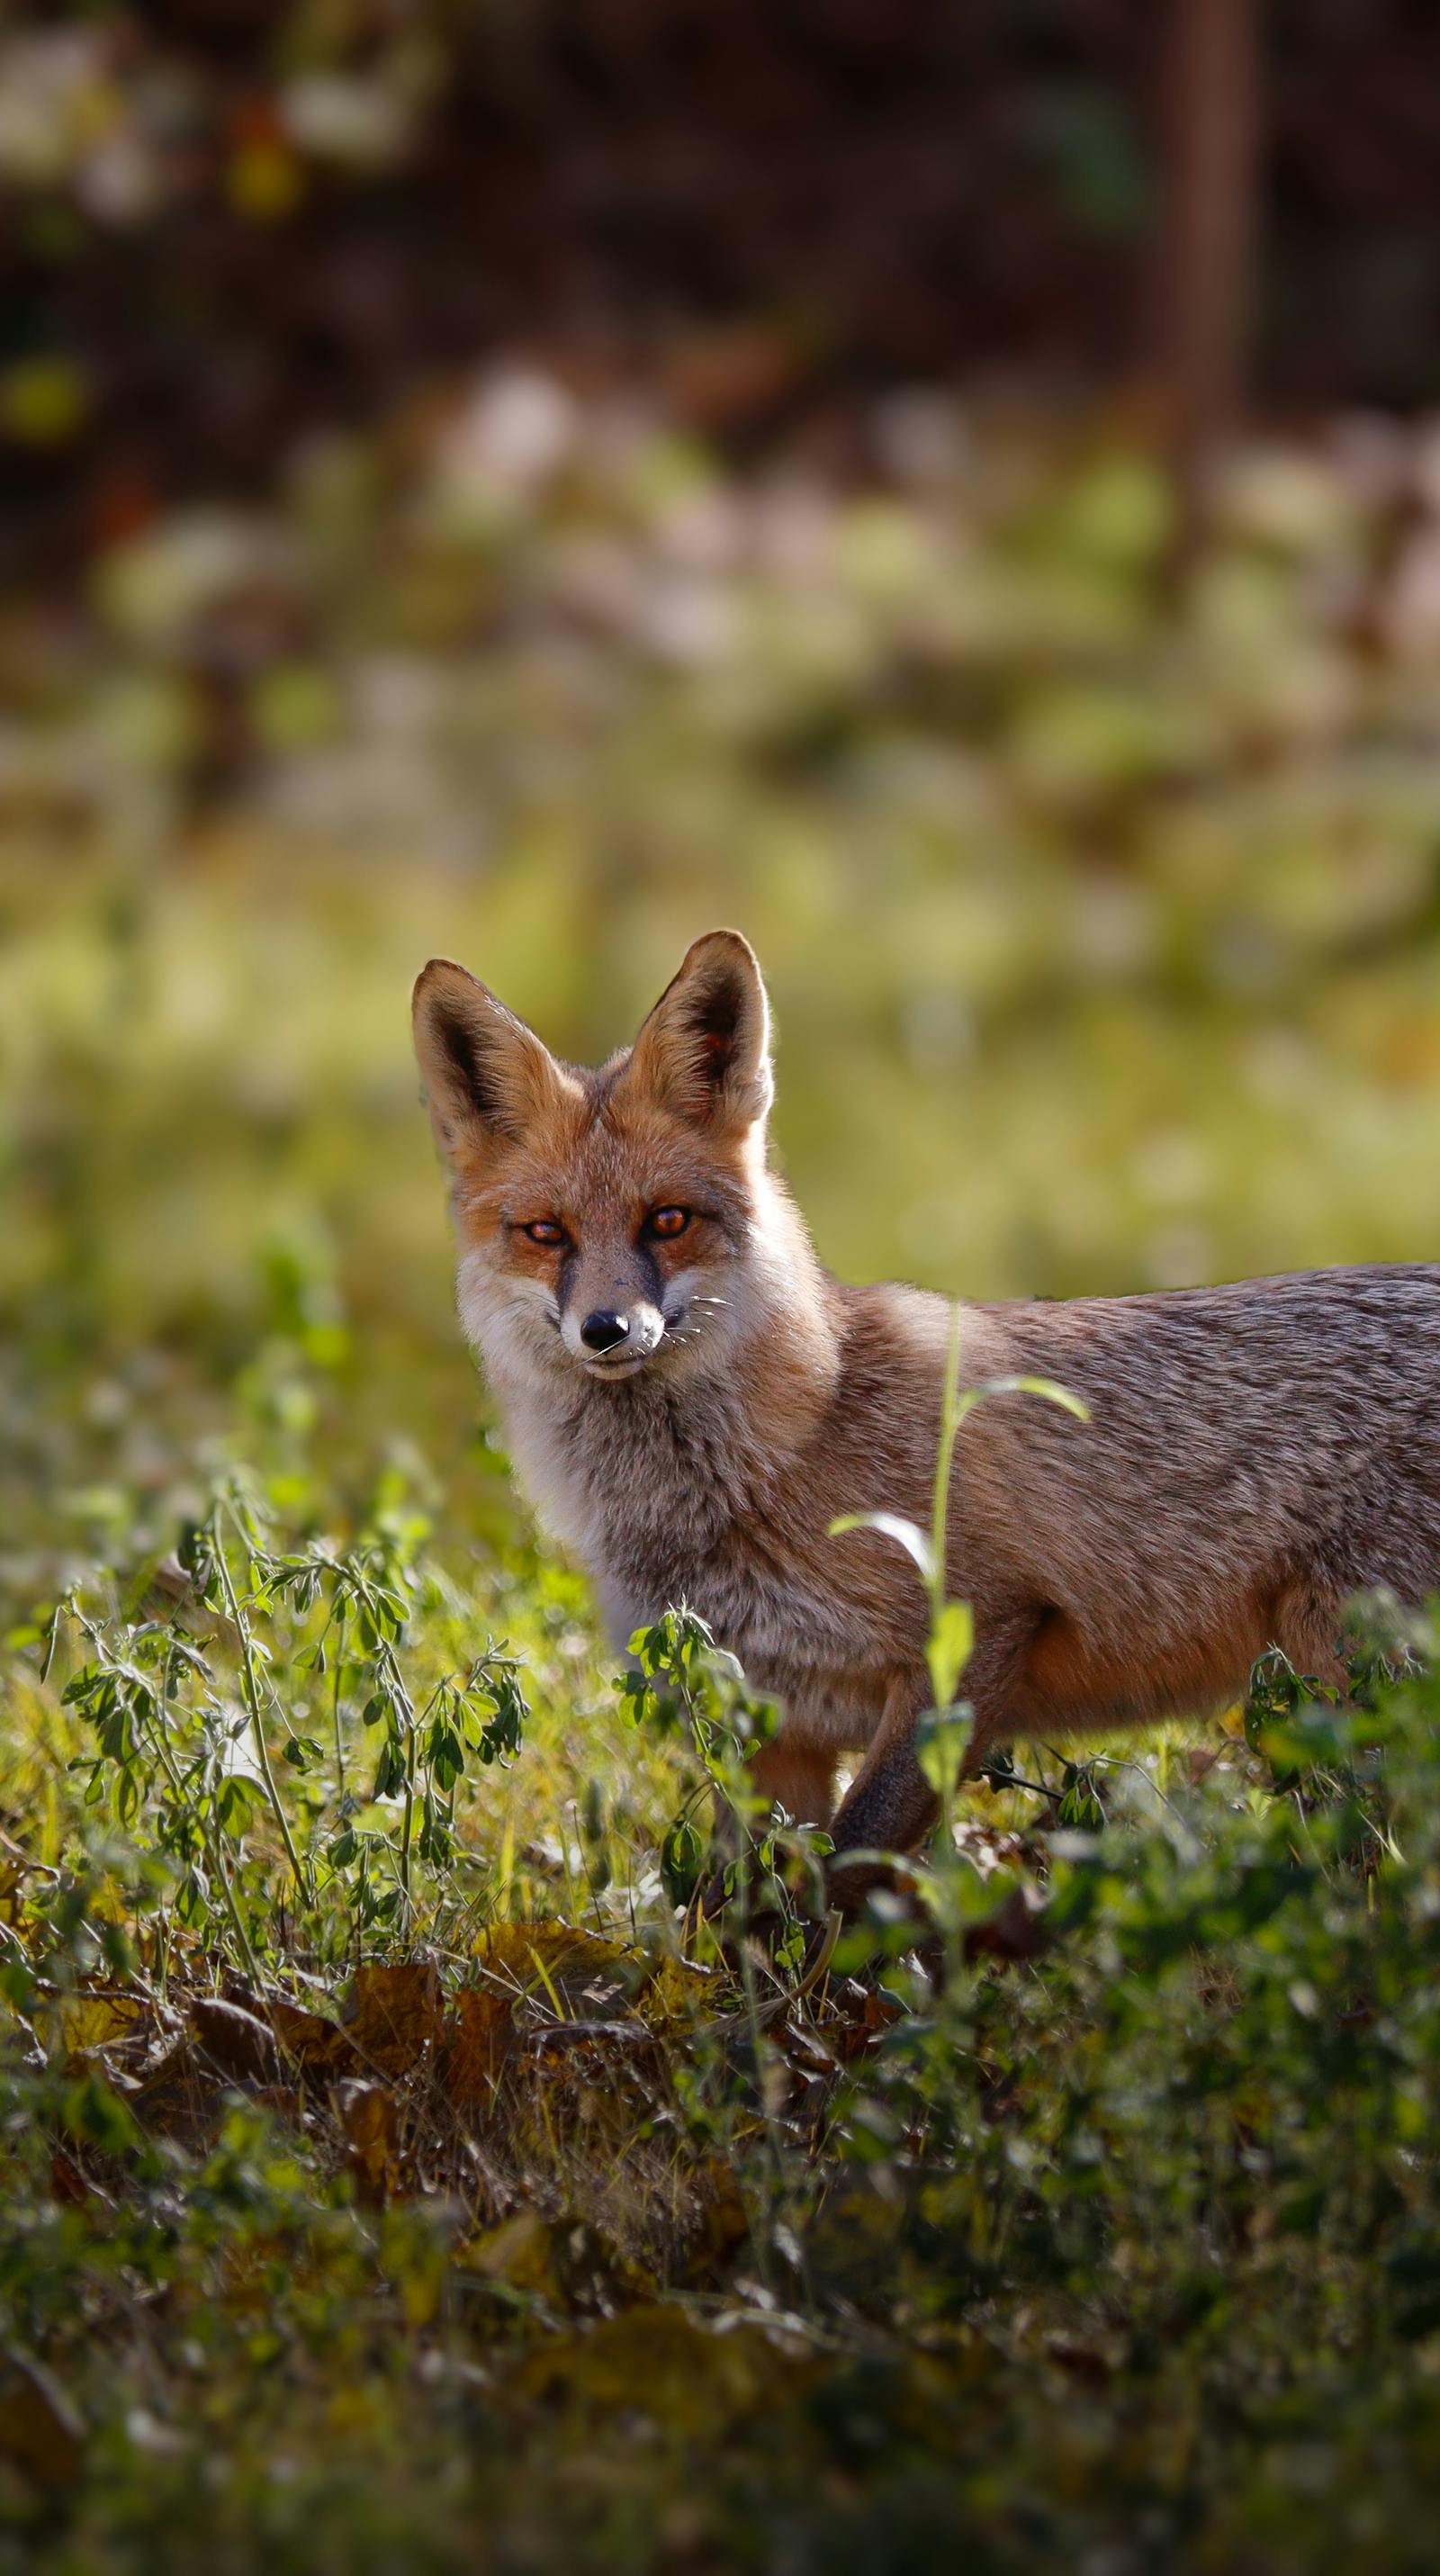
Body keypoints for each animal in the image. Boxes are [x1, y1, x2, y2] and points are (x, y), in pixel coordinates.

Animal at [413, 927, 1440, 1909]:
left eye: (666, 1221)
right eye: (545, 1234)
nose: (607, 1329)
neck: (774, 1464)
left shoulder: (973, 1635)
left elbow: (843, 1880)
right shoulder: (769, 1725)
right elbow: (750, 1916)